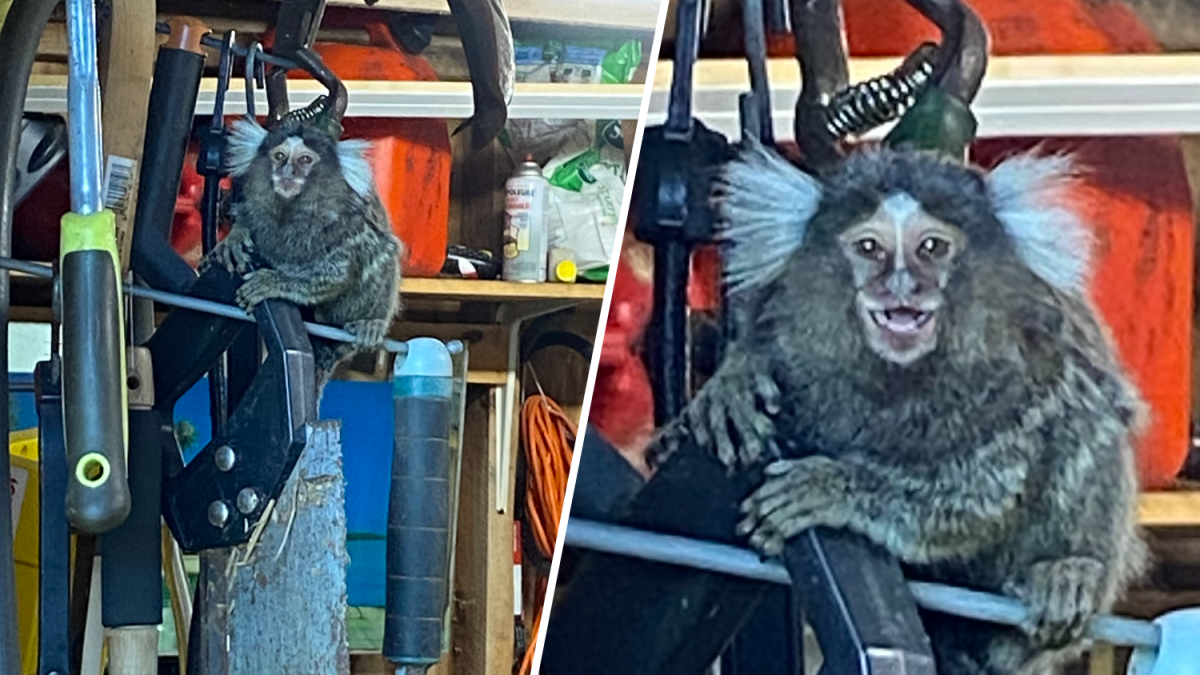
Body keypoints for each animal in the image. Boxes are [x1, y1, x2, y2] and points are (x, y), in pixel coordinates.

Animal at [201, 116, 403, 395]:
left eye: (305, 159)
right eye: (280, 156)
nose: (287, 172)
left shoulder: (347, 222)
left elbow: (336, 273)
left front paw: (271, 282)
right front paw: (234, 238)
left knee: (382, 253)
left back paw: (370, 323)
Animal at [648, 139, 1148, 675]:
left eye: (932, 247)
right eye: (870, 248)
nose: (903, 286)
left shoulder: (1021, 363)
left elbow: (984, 488)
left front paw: (835, 488)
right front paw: (728, 388)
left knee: (1087, 417)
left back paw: (1069, 573)